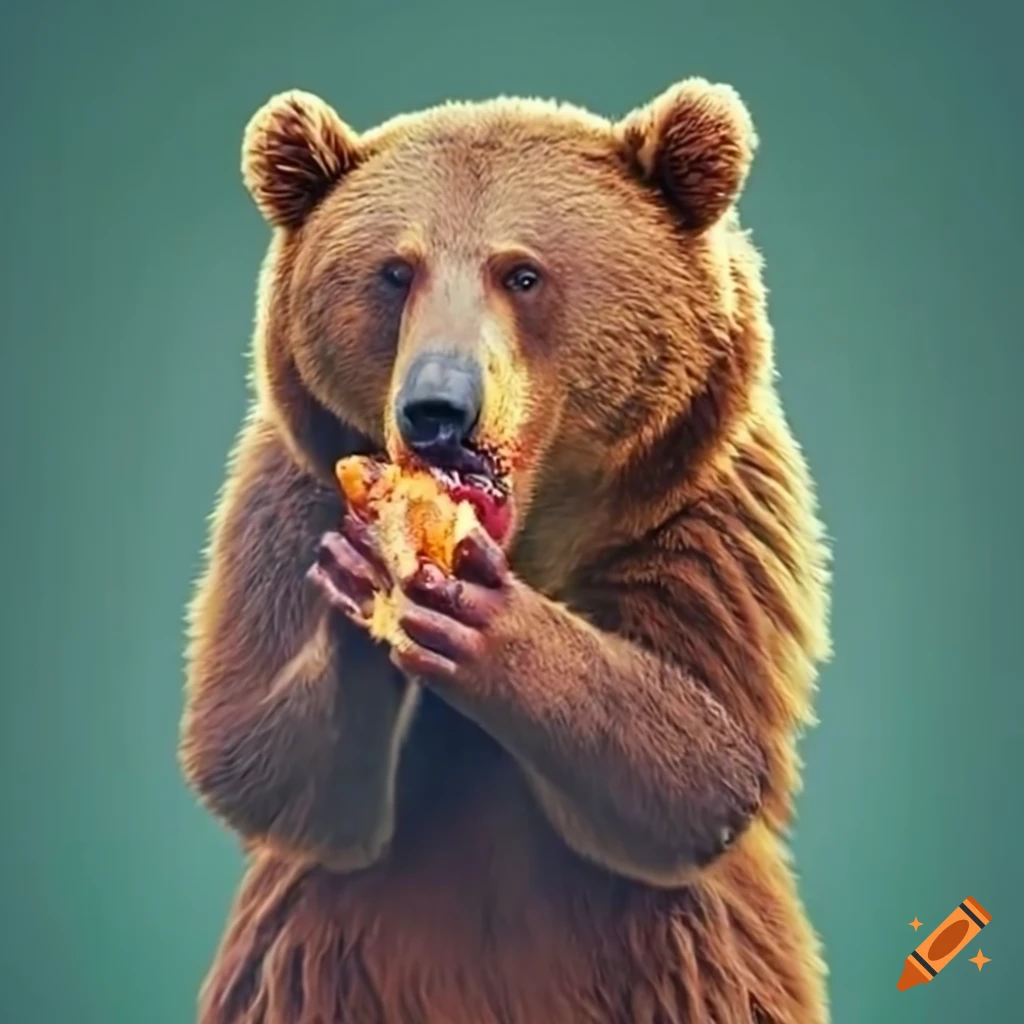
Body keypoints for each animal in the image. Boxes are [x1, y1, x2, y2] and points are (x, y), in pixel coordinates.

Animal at [179, 75, 832, 1024]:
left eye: (521, 273)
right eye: (396, 271)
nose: (436, 407)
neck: (529, 536)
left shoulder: (709, 509)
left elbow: (710, 755)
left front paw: (487, 625)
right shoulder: (282, 492)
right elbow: (256, 756)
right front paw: (364, 577)